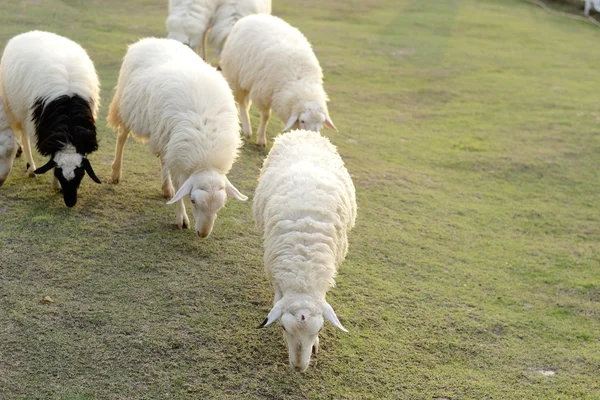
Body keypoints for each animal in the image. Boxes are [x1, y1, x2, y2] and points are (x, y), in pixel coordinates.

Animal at [0, 30, 101, 206]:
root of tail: (30, 32)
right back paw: (31, 168)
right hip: (19, 111)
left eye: (81, 174)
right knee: (24, 137)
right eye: (59, 173)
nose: (70, 202)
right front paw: (55, 185)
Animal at [108, 36, 246, 238]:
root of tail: (148, 40)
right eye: (193, 200)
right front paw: (181, 217)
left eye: (220, 206)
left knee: (162, 158)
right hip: (128, 109)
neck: (206, 160)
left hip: (164, 135)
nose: (203, 234)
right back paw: (116, 172)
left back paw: (166, 189)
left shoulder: (175, 145)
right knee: (121, 138)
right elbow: (180, 183)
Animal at [220, 14, 338, 149]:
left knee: (245, 101)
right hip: (235, 75)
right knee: (241, 102)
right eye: (302, 121)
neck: (301, 80)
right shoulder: (263, 93)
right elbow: (266, 116)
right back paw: (247, 128)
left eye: (321, 122)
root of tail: (252, 16)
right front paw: (261, 139)